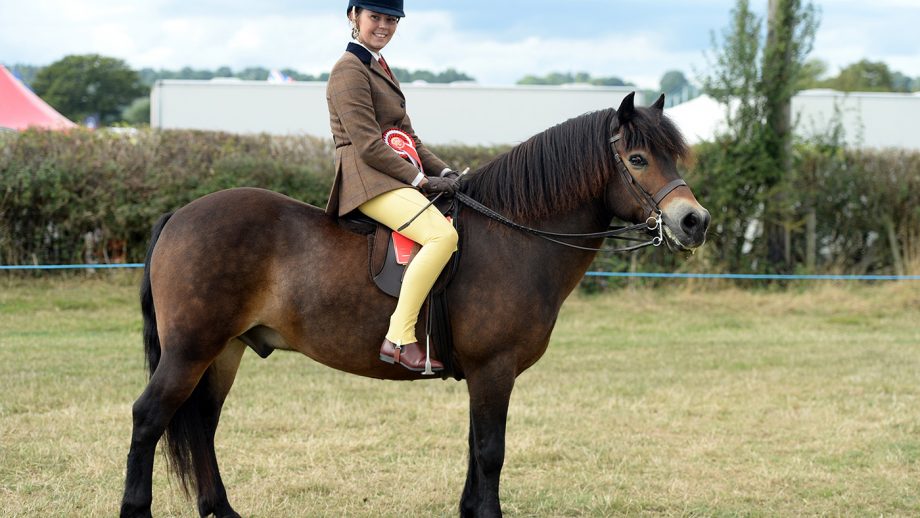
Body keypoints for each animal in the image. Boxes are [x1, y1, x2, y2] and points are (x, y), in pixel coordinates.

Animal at [120, 92, 710, 518]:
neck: (514, 235)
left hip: (223, 352)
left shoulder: (484, 375)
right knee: (149, 418)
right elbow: (490, 452)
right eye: (638, 158)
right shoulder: (494, 370)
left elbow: (475, 449)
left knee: (201, 425)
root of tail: (180, 215)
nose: (694, 221)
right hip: (191, 351)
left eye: (674, 155)